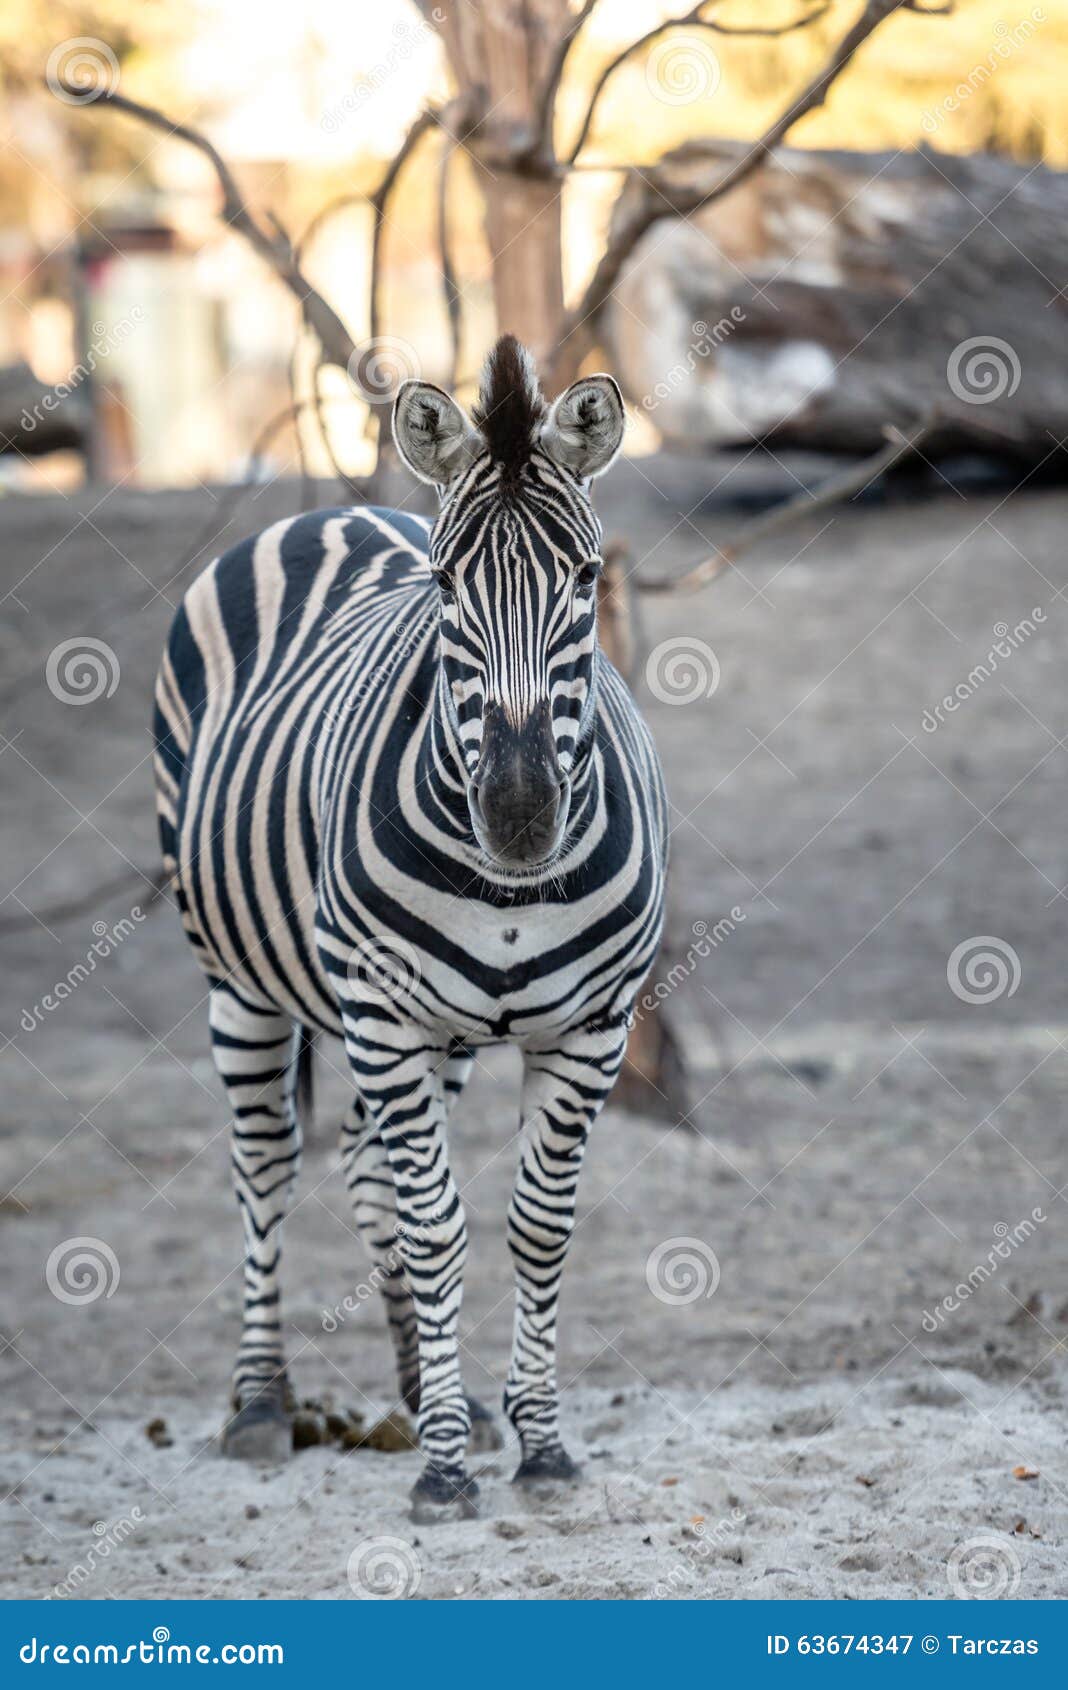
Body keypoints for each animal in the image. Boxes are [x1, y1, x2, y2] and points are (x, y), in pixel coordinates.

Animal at [153, 334, 667, 1520]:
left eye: (586, 580)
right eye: (443, 586)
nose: (518, 816)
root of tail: (332, 514)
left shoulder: (591, 1029)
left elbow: (535, 1226)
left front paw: (539, 1445)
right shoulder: (383, 1018)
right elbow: (440, 1228)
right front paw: (440, 1471)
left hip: (437, 1035)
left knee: (360, 1165)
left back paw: (426, 1390)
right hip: (247, 986)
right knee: (269, 1165)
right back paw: (262, 1406)